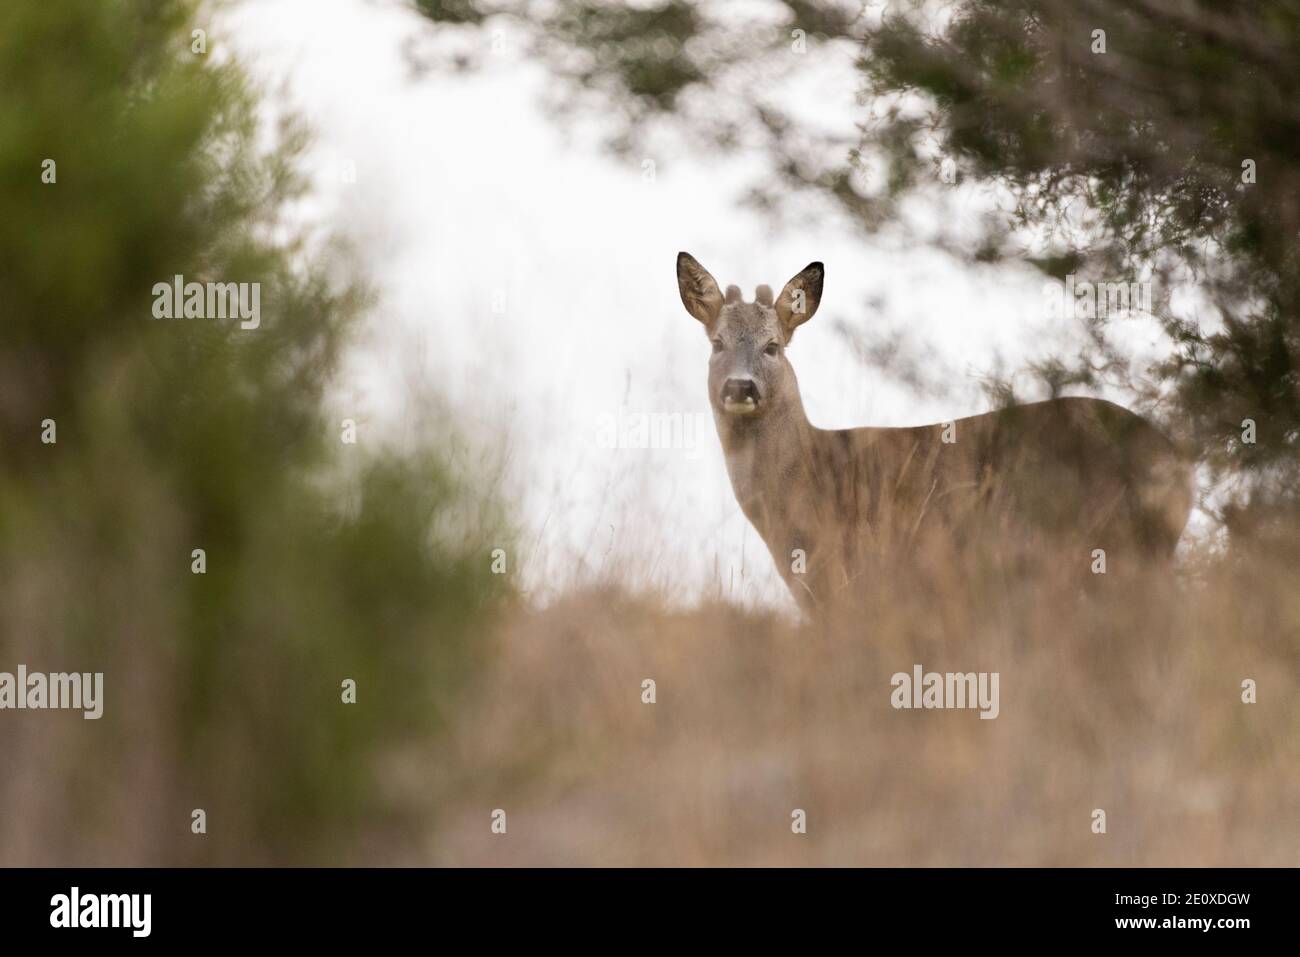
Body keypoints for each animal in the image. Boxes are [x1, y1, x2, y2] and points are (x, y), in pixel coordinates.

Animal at [676, 252, 1194, 615]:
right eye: (717, 344)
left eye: (773, 346)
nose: (740, 386)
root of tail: (1179, 462)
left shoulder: (856, 579)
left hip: (1120, 545)